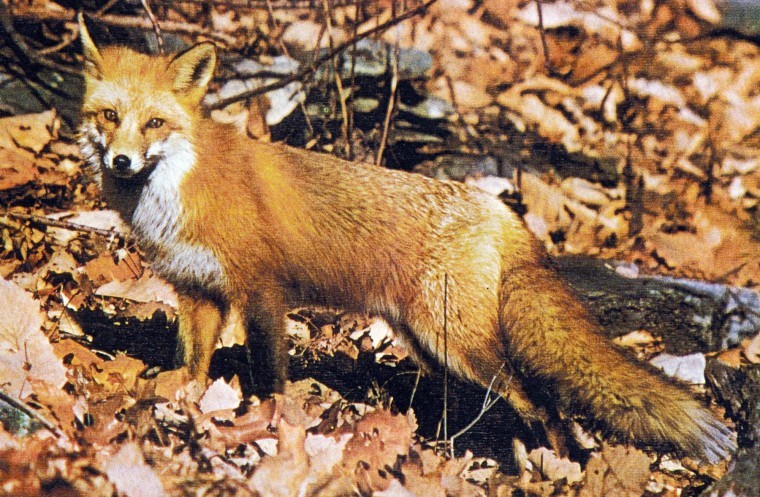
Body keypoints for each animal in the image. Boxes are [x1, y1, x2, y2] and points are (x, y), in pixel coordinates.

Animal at [77, 16, 735, 463]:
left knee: (542, 399)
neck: (178, 192)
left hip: (458, 344)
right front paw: (181, 406)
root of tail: (500, 209)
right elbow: (191, 369)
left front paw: (274, 424)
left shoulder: (262, 291)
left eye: (155, 123)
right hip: (431, 342)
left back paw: (558, 463)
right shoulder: (198, 294)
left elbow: (271, 375)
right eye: (108, 116)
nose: (121, 161)